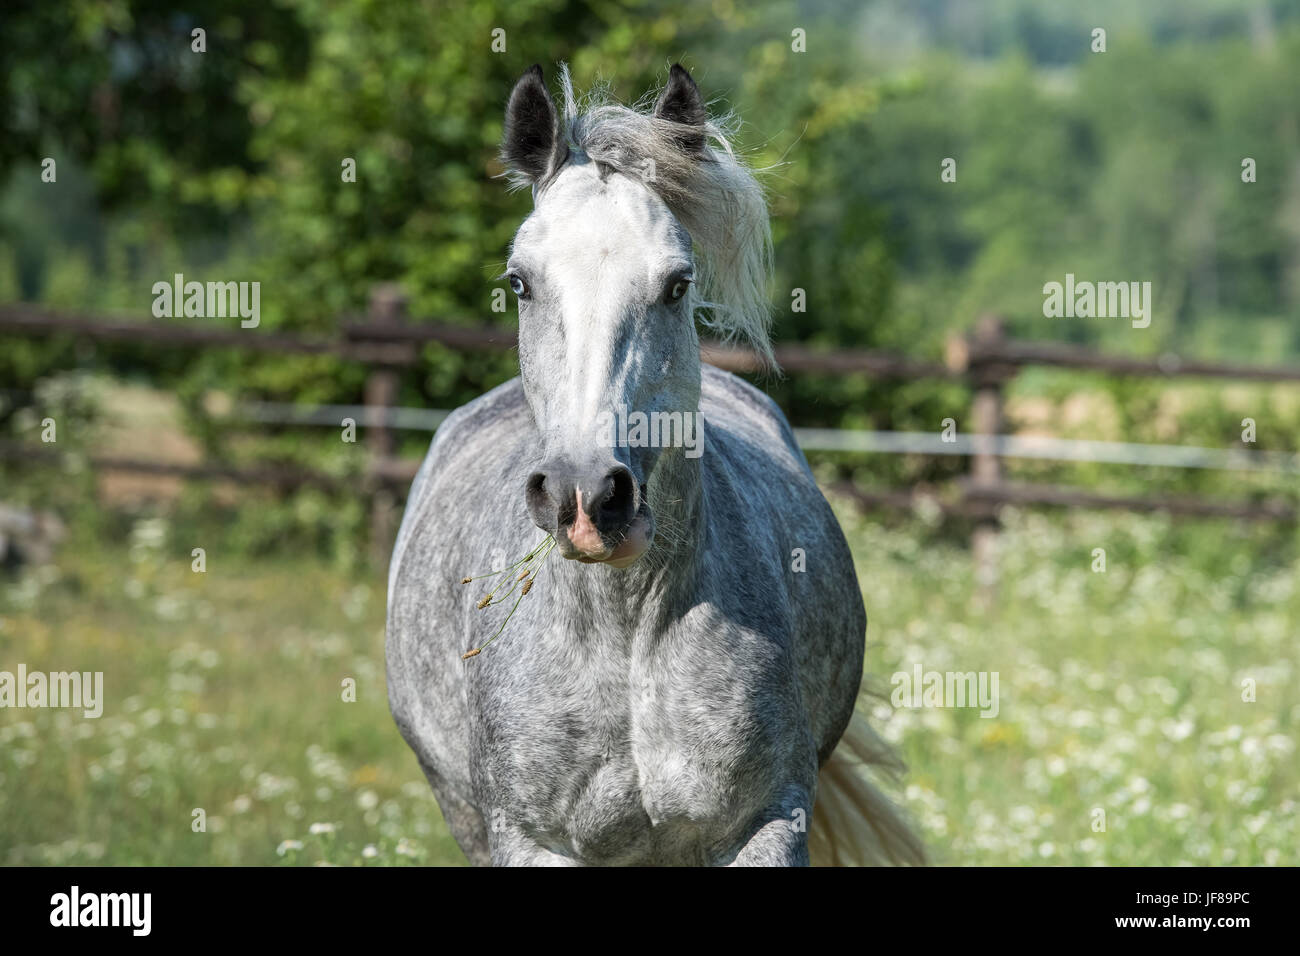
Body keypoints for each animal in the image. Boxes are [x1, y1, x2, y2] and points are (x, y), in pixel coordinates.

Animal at [385, 62, 922, 866]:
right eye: (519, 282)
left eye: (677, 283)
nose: (584, 497)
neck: (626, 635)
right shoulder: (529, 840)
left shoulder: (769, 820)